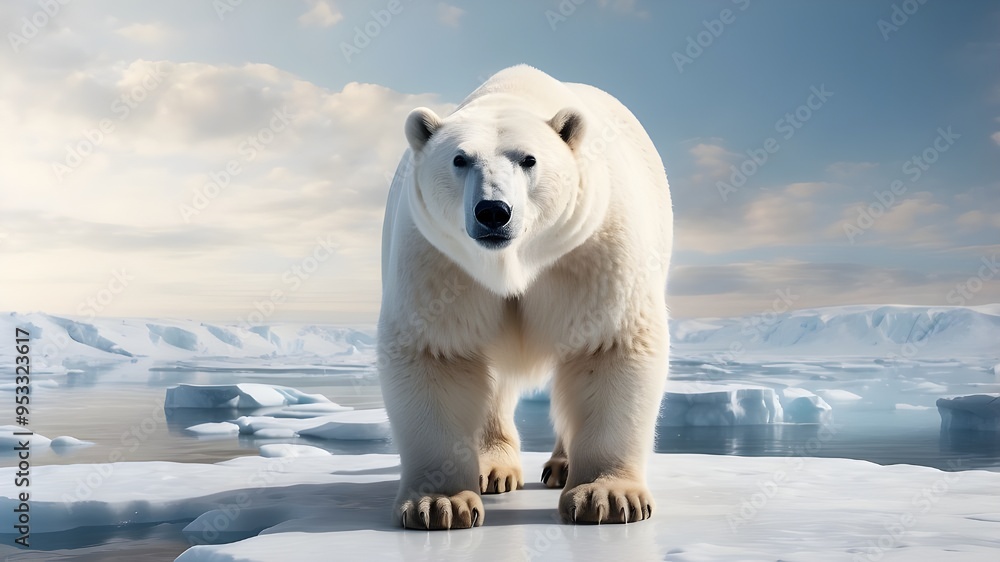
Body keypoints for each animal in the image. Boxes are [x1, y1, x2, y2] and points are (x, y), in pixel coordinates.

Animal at [377, 64, 672, 529]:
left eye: (529, 159)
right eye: (459, 159)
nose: (493, 212)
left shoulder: (591, 248)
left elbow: (608, 344)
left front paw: (605, 497)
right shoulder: (439, 261)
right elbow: (438, 352)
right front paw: (441, 503)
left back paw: (560, 466)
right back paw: (492, 469)